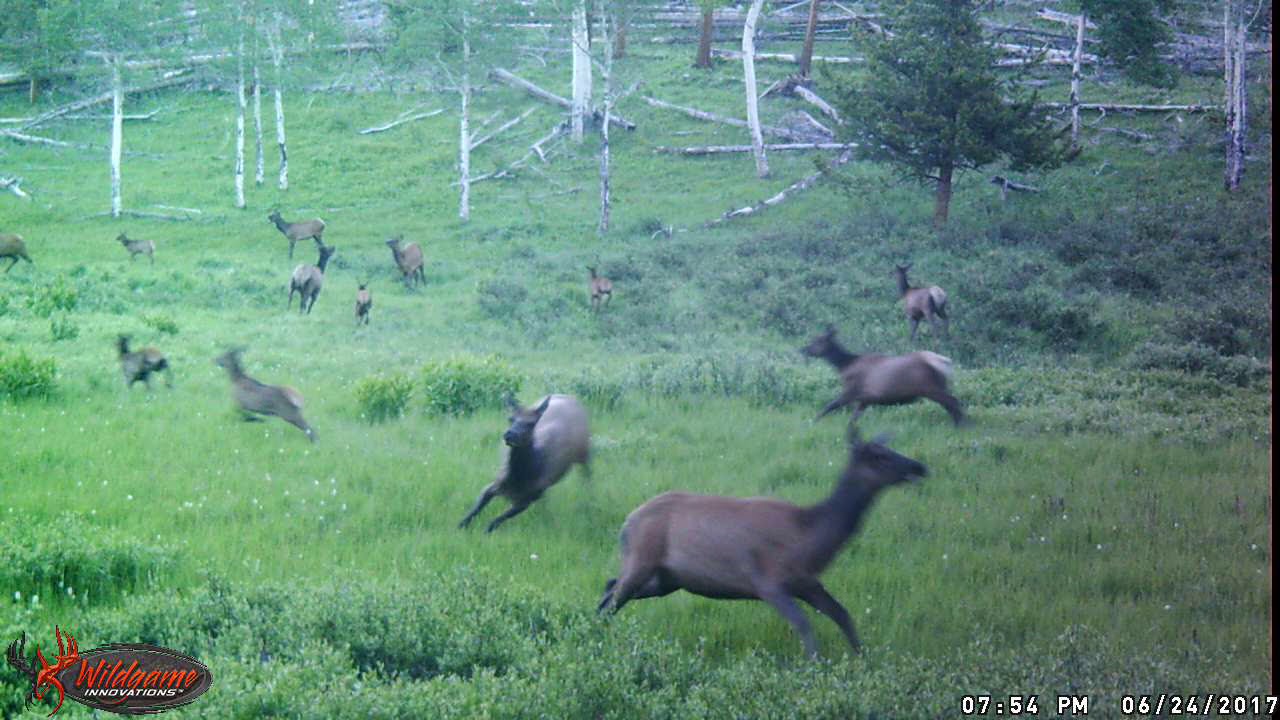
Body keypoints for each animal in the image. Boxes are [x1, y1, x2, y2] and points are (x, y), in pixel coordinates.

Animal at [459, 393, 591, 533]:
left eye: (531, 423)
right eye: (510, 419)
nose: (510, 434)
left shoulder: (527, 499)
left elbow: (497, 520)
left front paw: (485, 532)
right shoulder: (495, 483)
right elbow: (476, 508)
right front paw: (461, 525)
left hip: (584, 452)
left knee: (587, 476)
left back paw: (589, 502)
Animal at [597, 428, 927, 658]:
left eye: (890, 448)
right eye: (879, 456)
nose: (919, 467)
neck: (810, 538)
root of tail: (626, 524)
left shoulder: (807, 582)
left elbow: (842, 614)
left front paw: (862, 658)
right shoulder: (769, 581)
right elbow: (804, 625)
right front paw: (815, 667)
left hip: (667, 578)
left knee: (609, 587)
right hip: (643, 560)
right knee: (611, 600)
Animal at [802, 326, 965, 427]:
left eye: (818, 341)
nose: (803, 349)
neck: (844, 366)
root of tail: (945, 362)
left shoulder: (851, 392)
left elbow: (829, 406)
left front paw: (812, 422)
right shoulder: (865, 399)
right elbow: (852, 420)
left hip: (931, 388)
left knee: (953, 402)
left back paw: (962, 426)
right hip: (938, 387)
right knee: (952, 404)